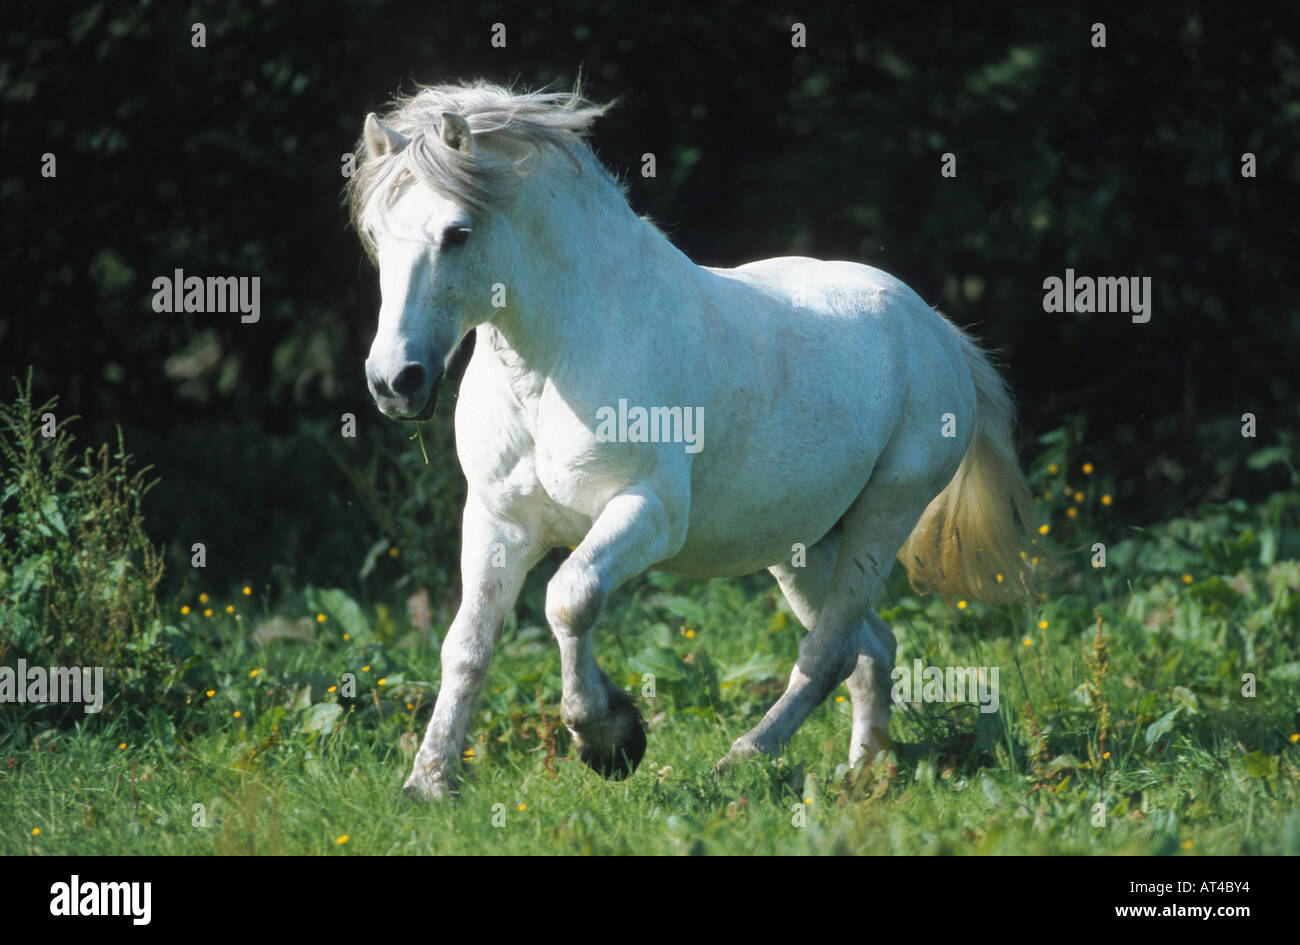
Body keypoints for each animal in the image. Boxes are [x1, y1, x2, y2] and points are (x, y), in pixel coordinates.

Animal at [346, 81, 1035, 801]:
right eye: (375, 236)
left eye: (457, 233)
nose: (395, 381)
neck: (553, 365)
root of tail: (932, 327)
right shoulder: (497, 521)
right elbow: (467, 644)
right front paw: (429, 782)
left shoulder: (647, 511)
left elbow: (569, 598)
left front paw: (607, 737)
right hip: (802, 546)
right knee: (872, 647)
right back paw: (864, 772)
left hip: (884, 514)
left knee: (831, 651)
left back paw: (747, 758)